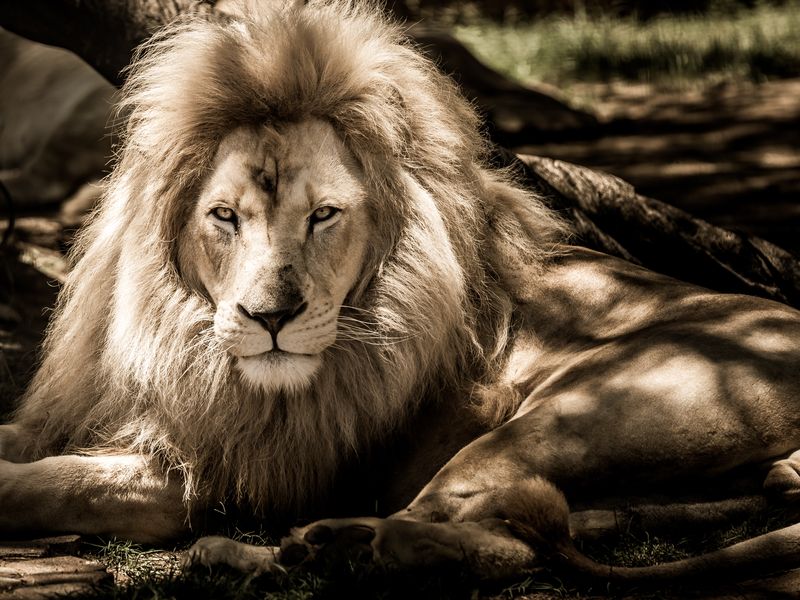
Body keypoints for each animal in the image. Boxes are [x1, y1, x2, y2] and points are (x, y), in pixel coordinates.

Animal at [2, 0, 800, 586]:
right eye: (224, 216)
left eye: (324, 215)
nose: (271, 318)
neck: (177, 333)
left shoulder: (220, 470)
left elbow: (47, 483)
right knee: (528, 529)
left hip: (568, 416)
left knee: (491, 539)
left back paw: (292, 549)